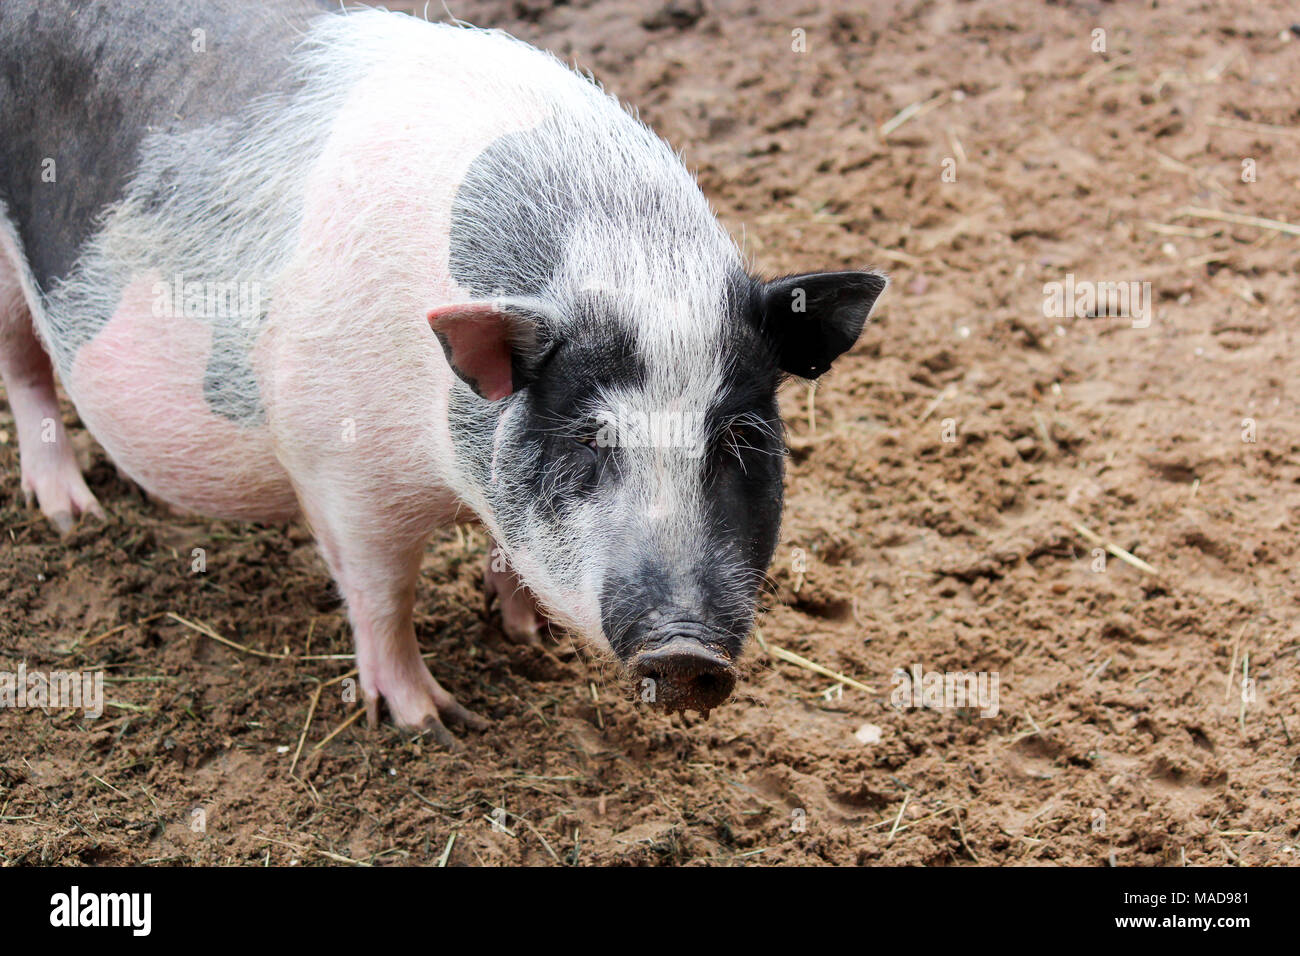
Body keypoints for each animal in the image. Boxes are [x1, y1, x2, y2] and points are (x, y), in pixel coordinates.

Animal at [0, 1, 886, 744]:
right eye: (589, 441)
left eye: (740, 442)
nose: (687, 653)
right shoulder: (338, 470)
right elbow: (382, 594)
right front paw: (435, 724)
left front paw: (529, 637)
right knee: (25, 373)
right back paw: (73, 516)